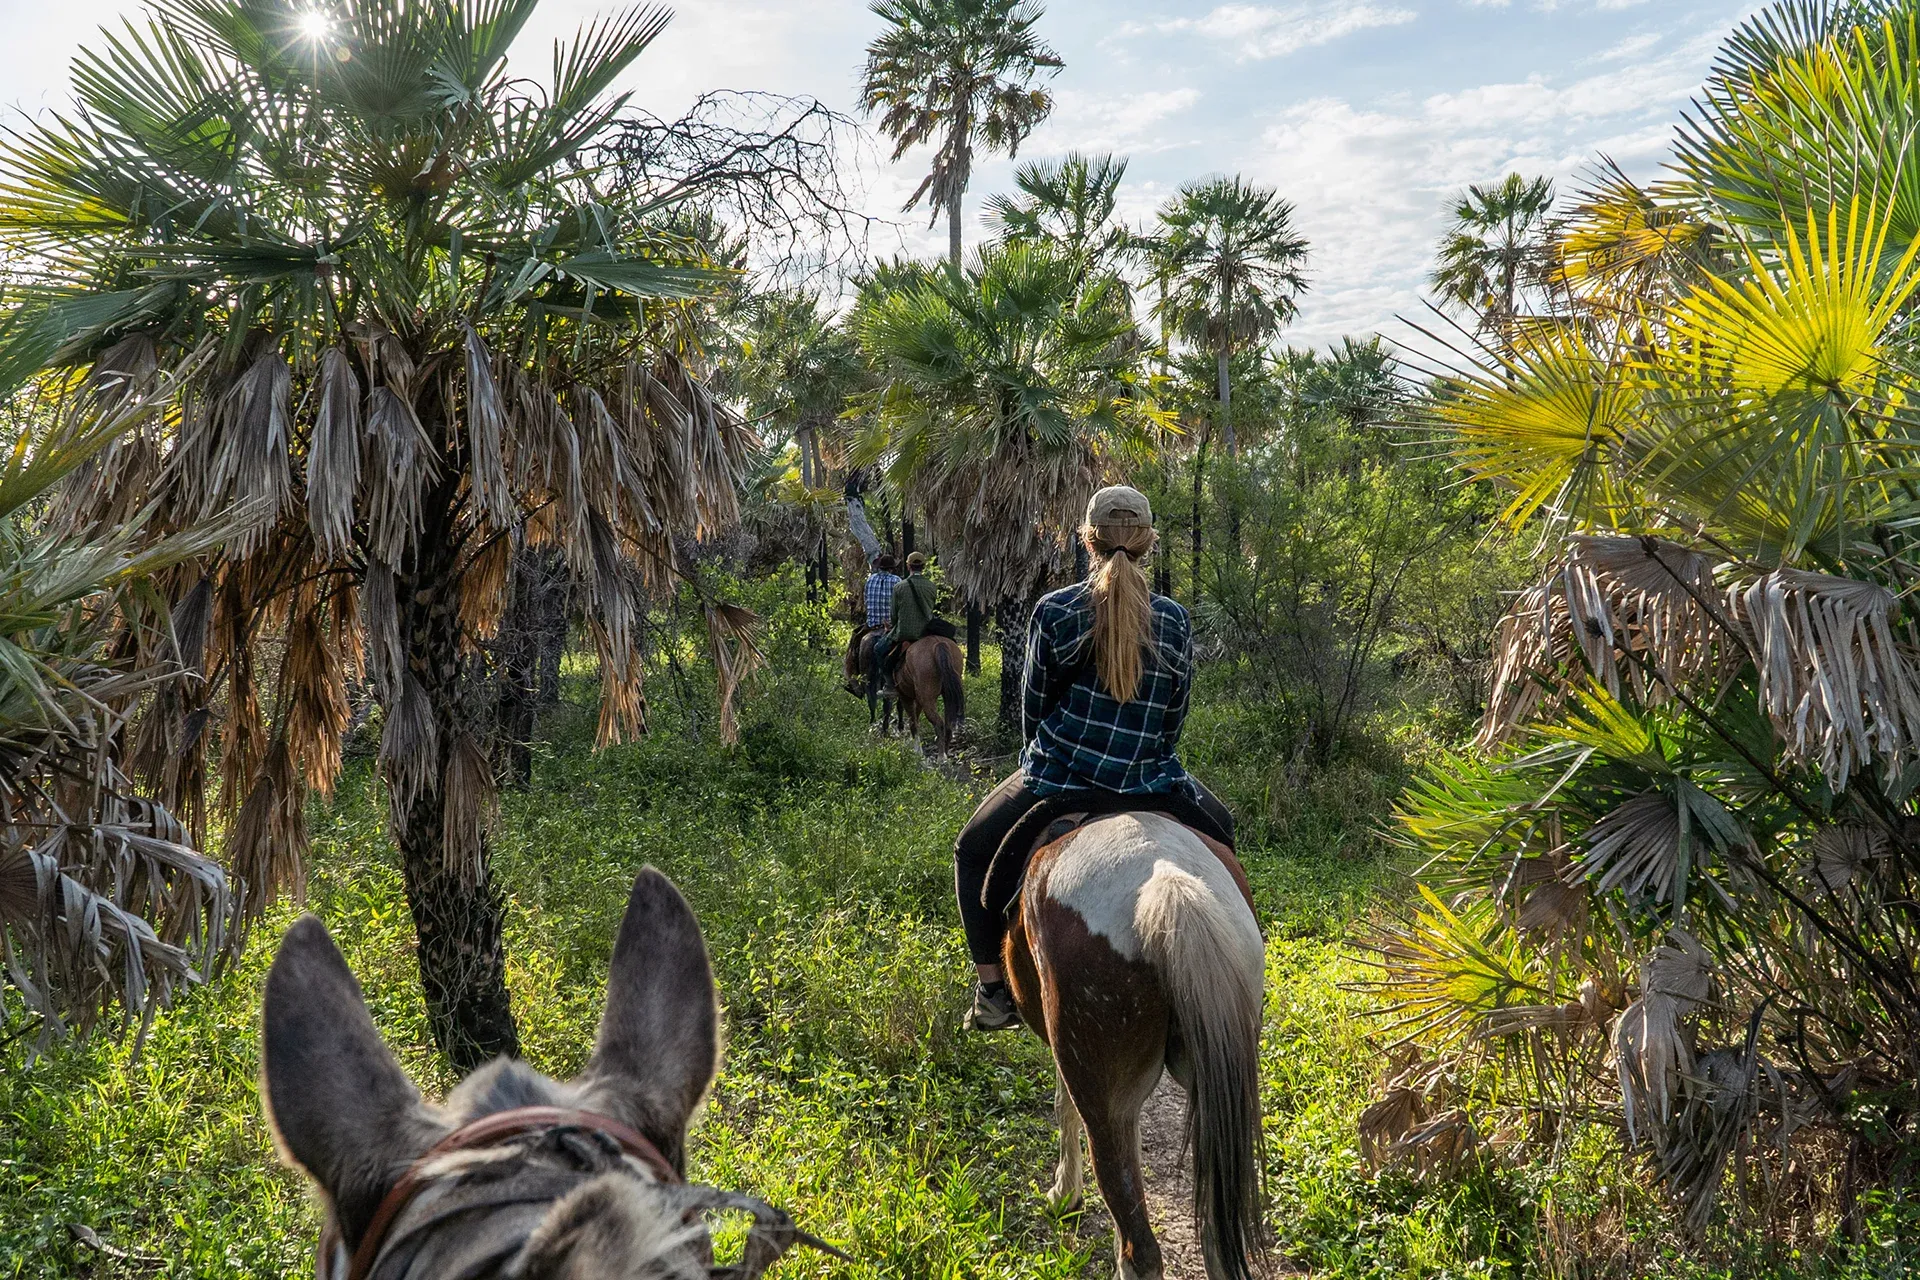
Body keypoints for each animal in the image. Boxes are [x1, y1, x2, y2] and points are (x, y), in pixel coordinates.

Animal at [1003, 813, 1266, 1280]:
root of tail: (1166, 879)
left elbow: (1062, 1106)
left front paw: (1063, 1193)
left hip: (1104, 1096)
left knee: (1139, 1251)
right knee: (1215, 1238)